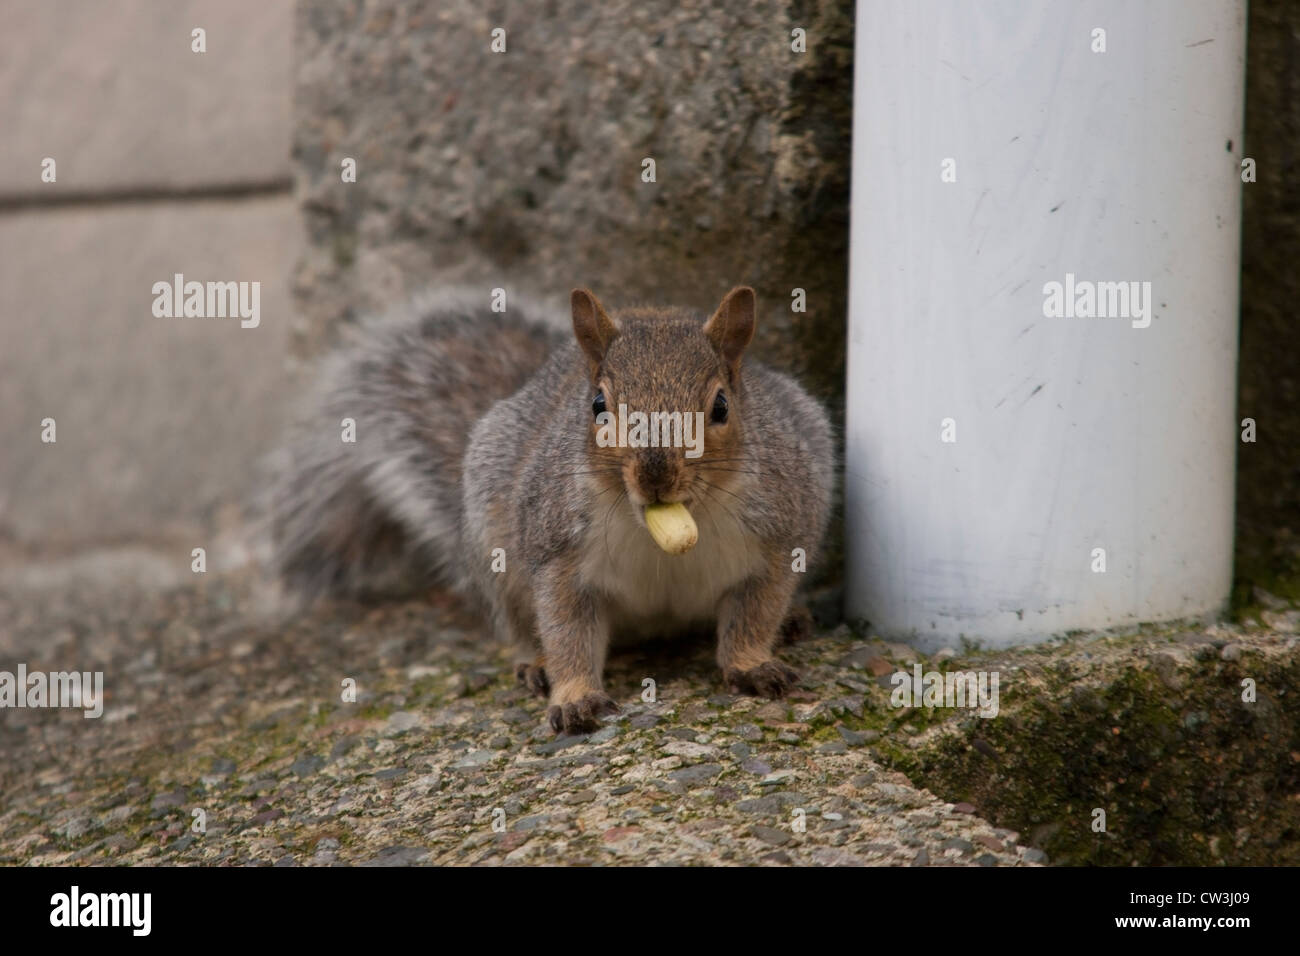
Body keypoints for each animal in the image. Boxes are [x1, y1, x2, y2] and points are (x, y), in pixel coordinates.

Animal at [271, 285, 835, 734]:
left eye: (720, 407)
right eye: (599, 406)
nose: (655, 477)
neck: (662, 532)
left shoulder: (782, 535)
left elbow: (755, 614)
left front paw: (753, 664)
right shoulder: (559, 553)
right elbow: (567, 630)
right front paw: (575, 696)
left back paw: (792, 621)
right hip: (496, 552)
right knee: (524, 624)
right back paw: (535, 663)